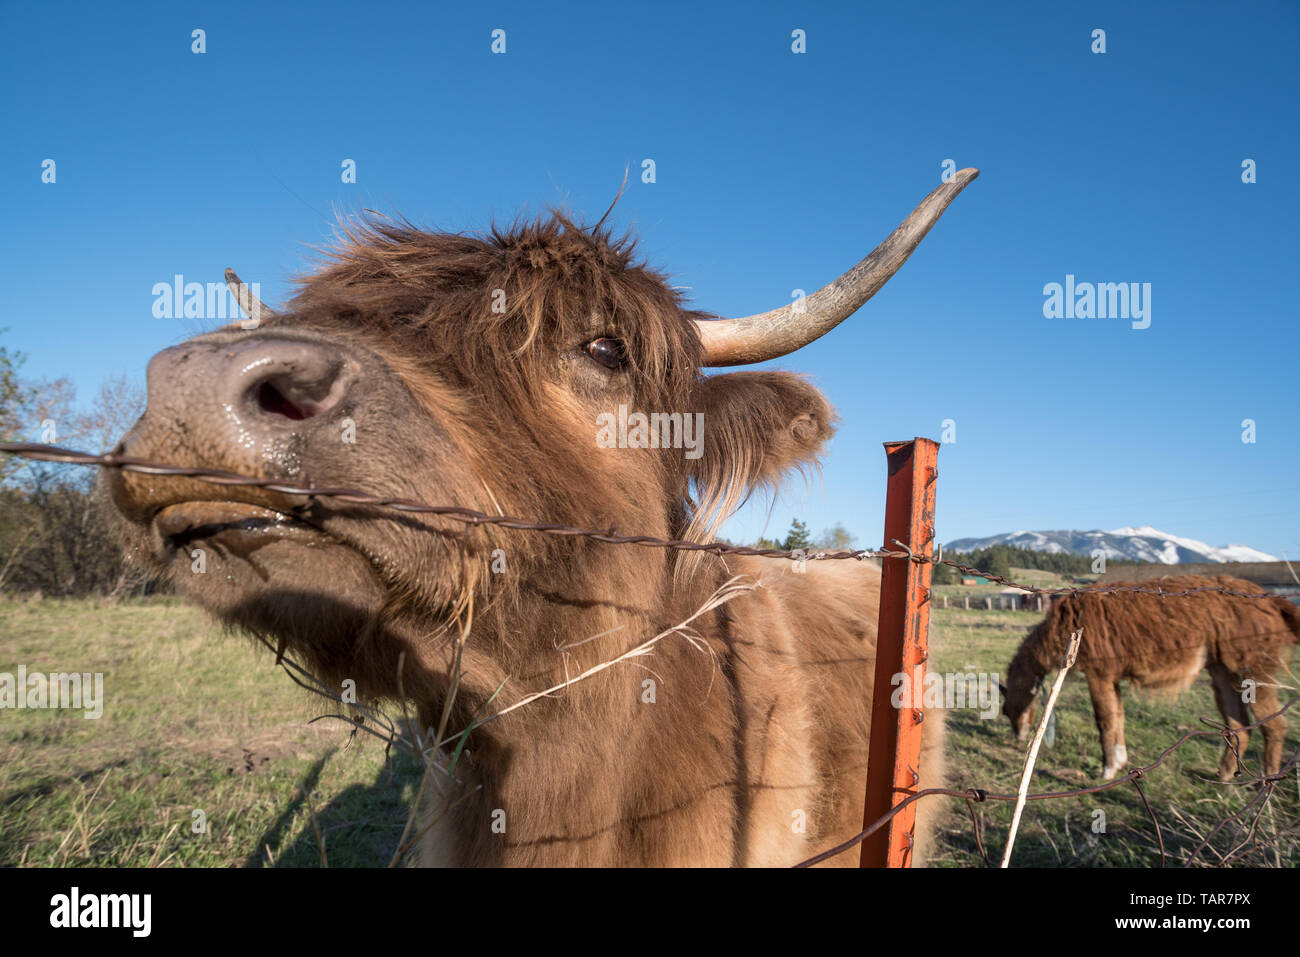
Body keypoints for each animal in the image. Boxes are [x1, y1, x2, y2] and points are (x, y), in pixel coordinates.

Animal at [1001, 575, 1300, 781]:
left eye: (1007, 710)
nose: (1017, 735)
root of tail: (1271, 600)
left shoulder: (1099, 672)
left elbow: (1105, 720)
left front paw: (1107, 770)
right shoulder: (1112, 675)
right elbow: (1119, 716)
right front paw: (1120, 761)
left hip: (1254, 664)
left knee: (1274, 725)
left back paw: (1265, 782)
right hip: (1222, 668)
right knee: (1238, 724)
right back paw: (1224, 777)